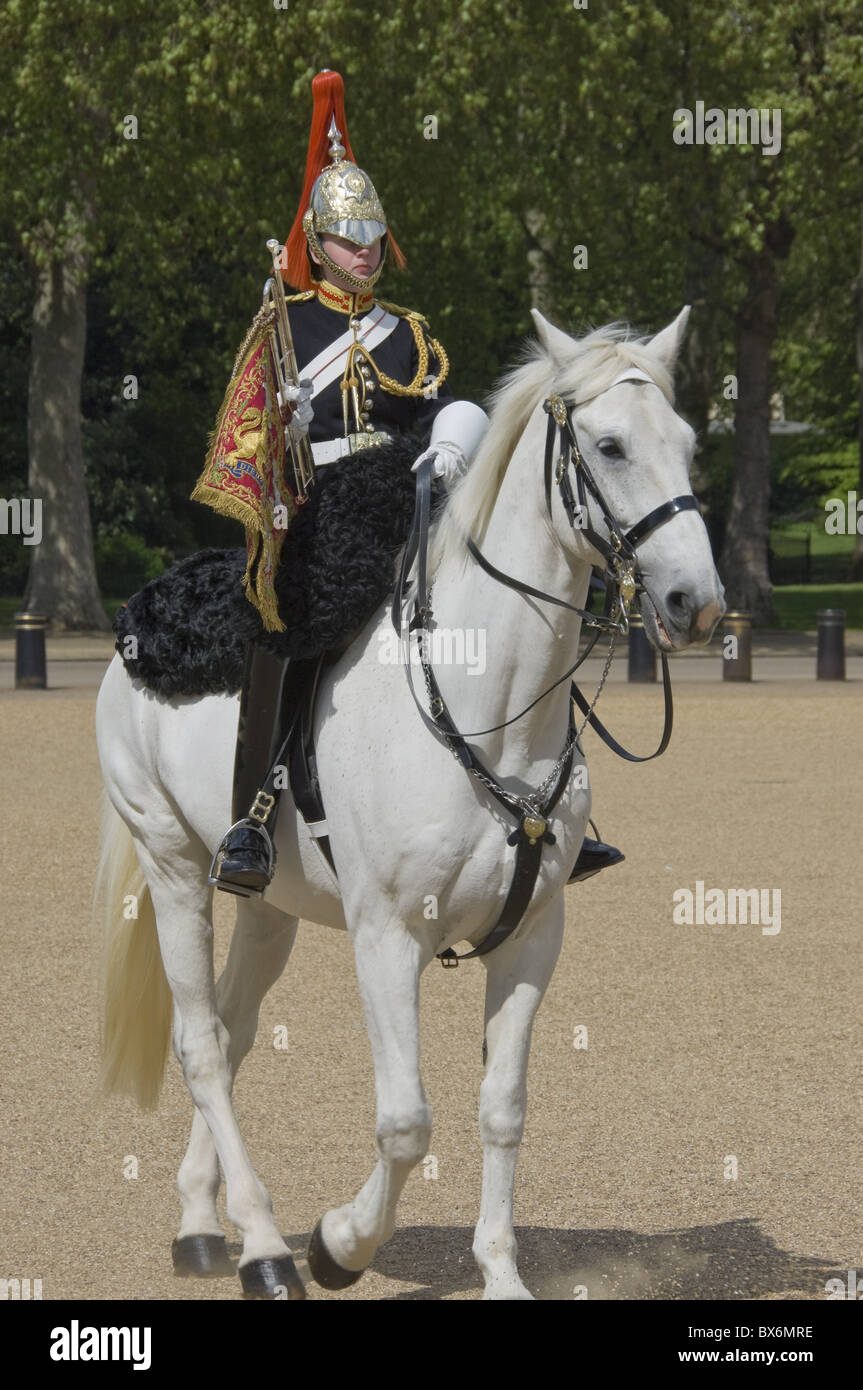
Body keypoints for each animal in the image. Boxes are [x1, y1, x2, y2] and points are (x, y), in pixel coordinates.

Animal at [94, 306, 725, 1300]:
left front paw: (499, 1274)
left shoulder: (532, 936)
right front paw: (340, 1243)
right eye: (610, 446)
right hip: (173, 866)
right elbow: (405, 1122)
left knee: (232, 1034)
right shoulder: (386, 938)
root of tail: (133, 627)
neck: (489, 710)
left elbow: (502, 1108)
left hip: (268, 905)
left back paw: (202, 1222)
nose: (695, 602)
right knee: (199, 1043)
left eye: (689, 444)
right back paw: (266, 1248)